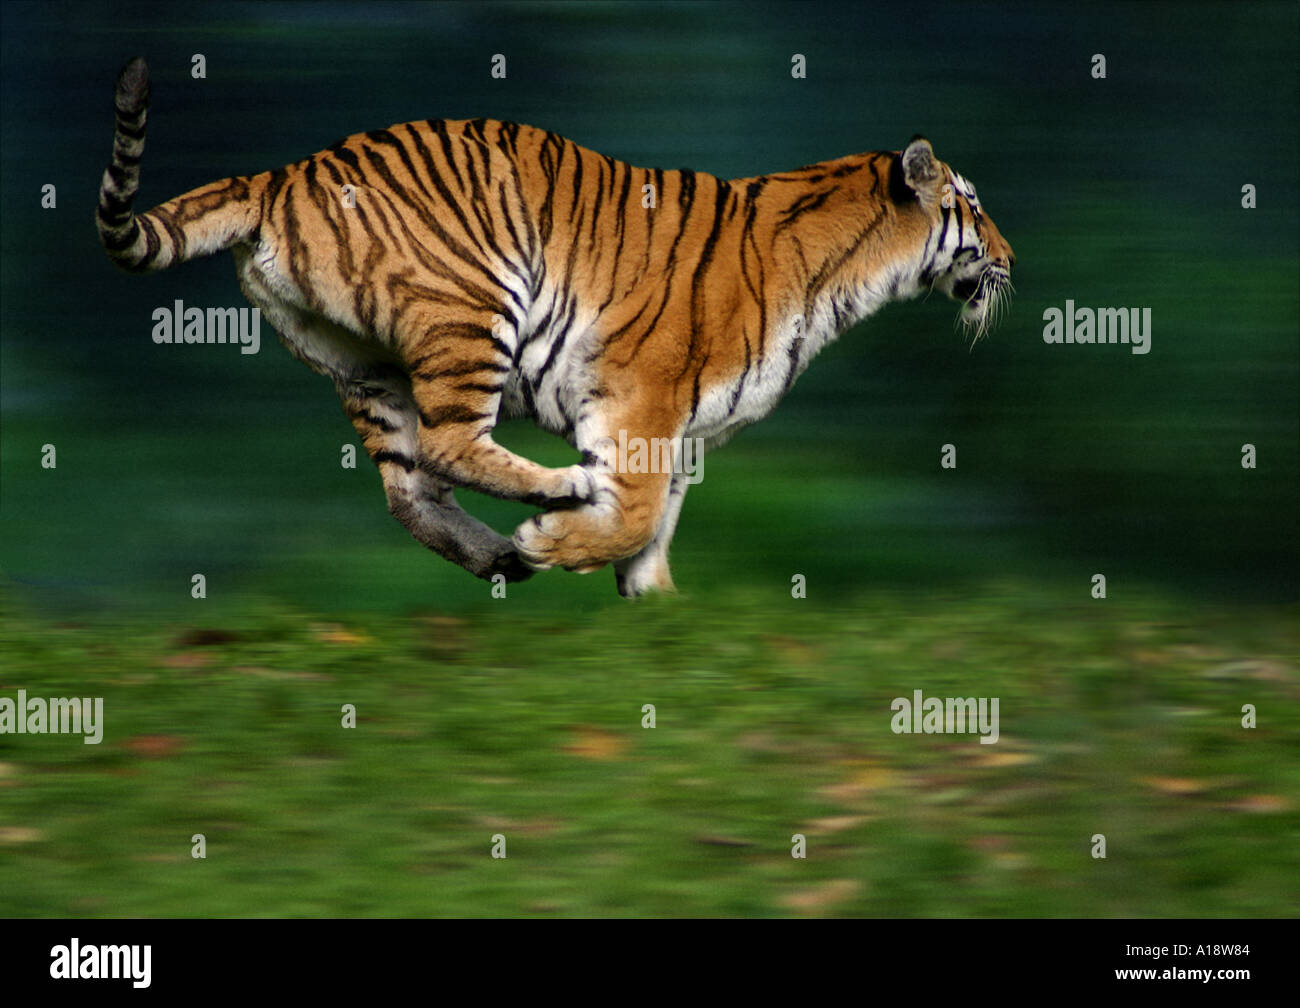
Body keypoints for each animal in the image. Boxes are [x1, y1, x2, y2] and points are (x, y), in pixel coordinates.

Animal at [97, 57, 1014, 597]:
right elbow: (634, 516)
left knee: (409, 490)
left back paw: (498, 554)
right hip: (473, 307)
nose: (1010, 258)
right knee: (449, 448)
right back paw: (551, 500)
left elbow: (651, 533)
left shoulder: (680, 436)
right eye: (971, 206)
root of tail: (284, 172)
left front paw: (657, 616)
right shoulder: (642, 404)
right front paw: (558, 543)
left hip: (366, 364)